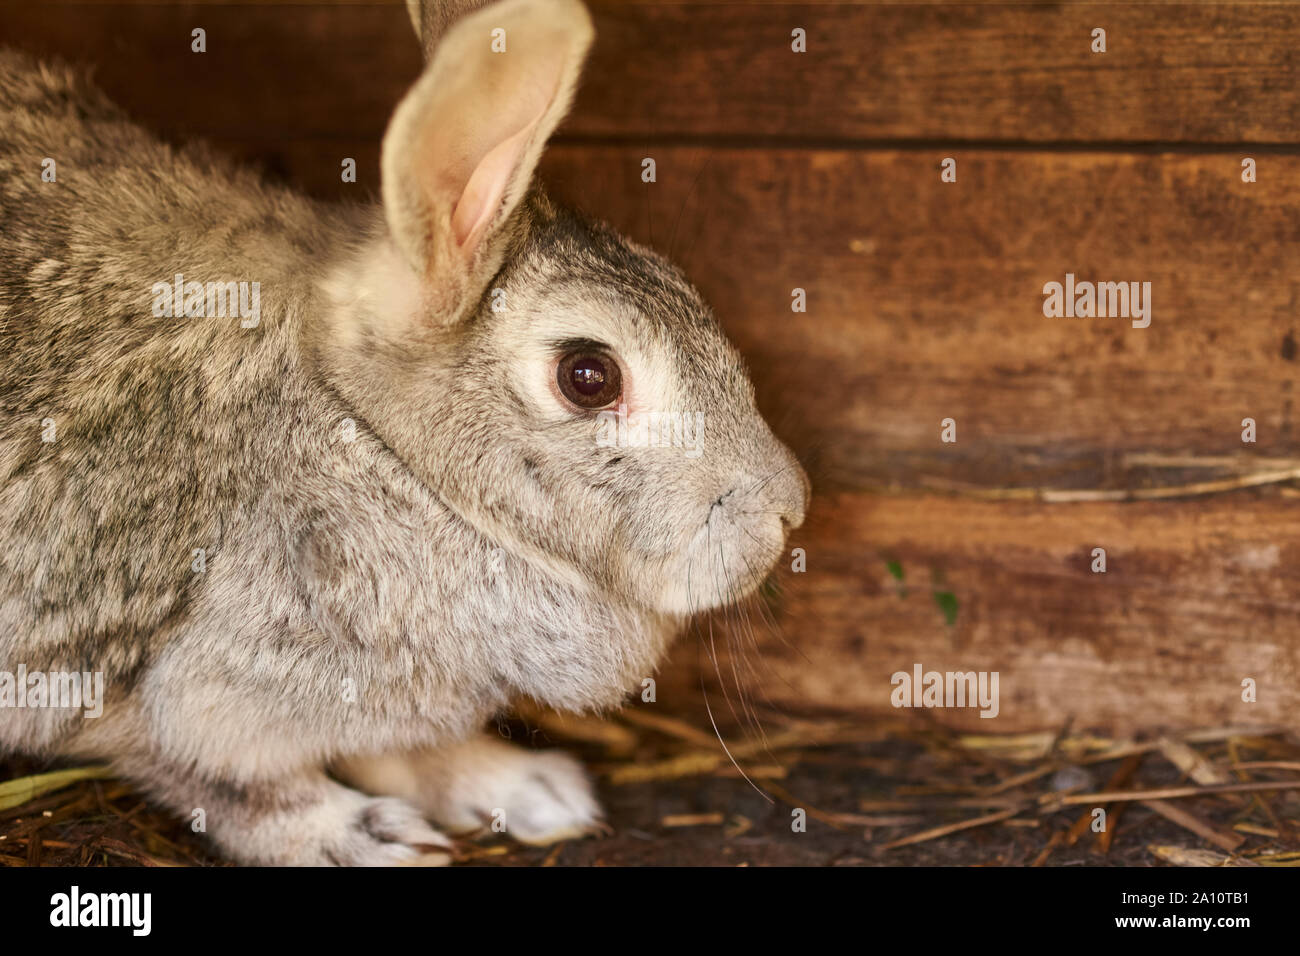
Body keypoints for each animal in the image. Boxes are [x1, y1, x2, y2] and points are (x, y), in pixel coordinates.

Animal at [0, 0, 809, 865]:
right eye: (589, 376)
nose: (789, 507)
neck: (373, 438)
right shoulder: (122, 673)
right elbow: (221, 780)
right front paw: (361, 839)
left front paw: (527, 789)